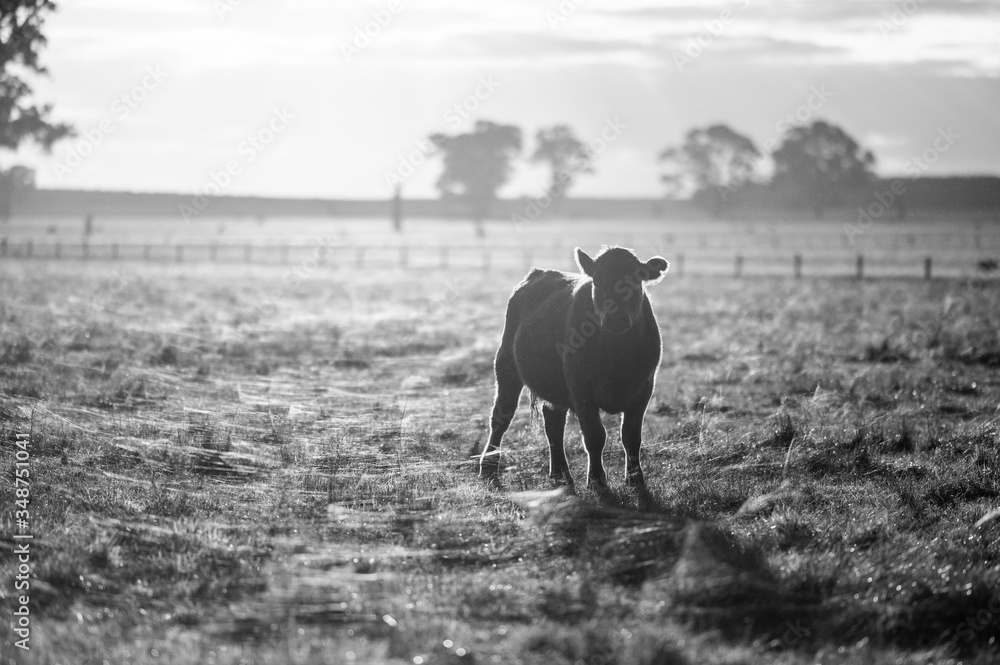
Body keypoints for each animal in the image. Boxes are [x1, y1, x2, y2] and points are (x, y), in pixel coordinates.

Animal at [479, 246, 670, 490]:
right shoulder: (580, 387)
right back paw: (488, 467)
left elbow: (631, 436)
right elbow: (595, 435)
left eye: (636, 282)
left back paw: (560, 474)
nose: (615, 319)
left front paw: (635, 478)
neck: (616, 354)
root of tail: (539, 273)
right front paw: (596, 479)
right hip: (506, 365)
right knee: (501, 416)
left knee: (553, 424)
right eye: (598, 281)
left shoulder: (644, 387)